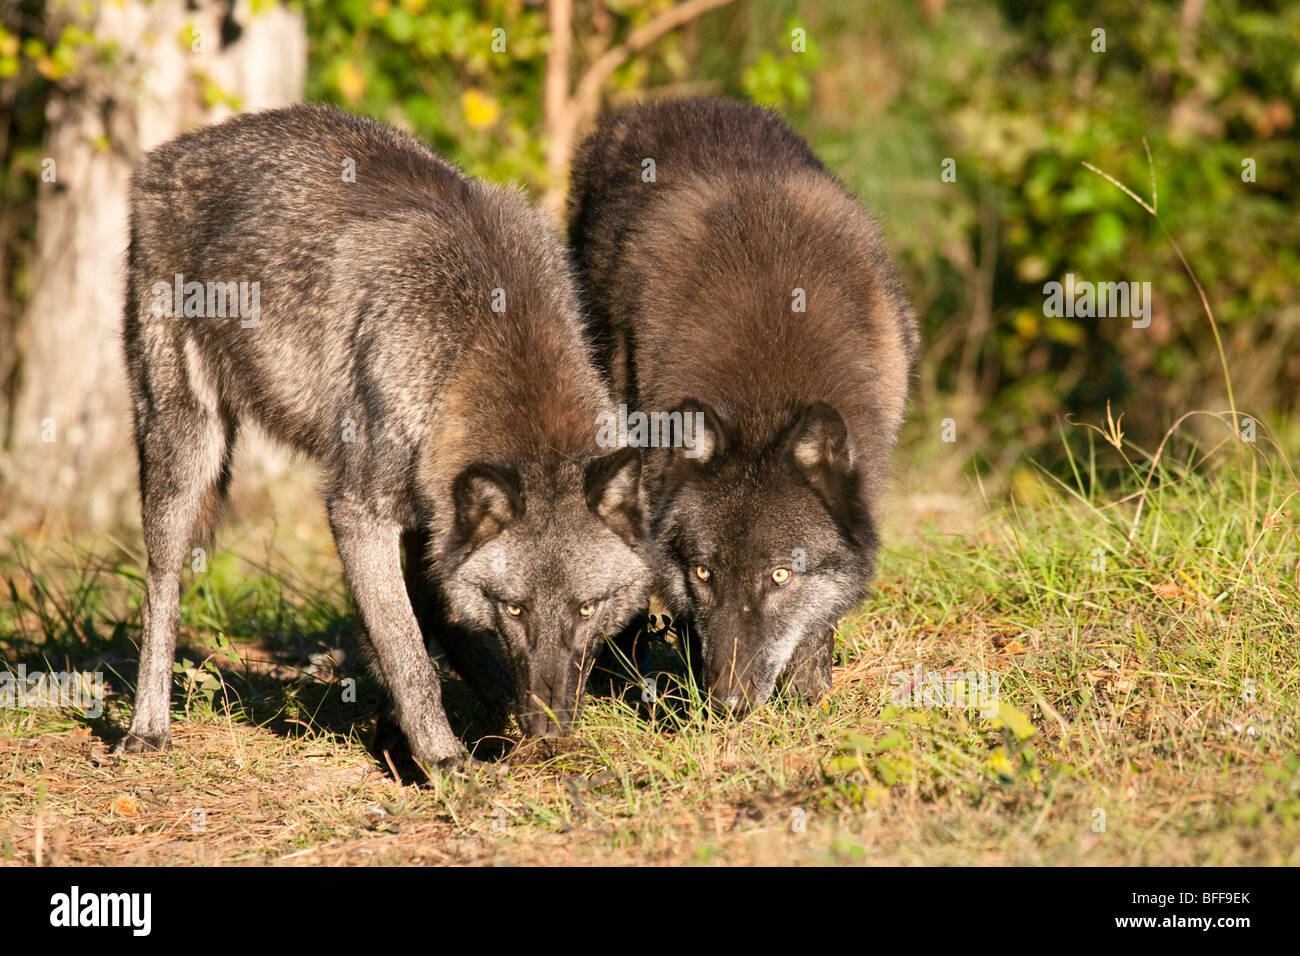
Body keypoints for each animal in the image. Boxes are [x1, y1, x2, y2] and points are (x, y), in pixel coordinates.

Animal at [119, 104, 654, 769]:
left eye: (586, 607)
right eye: (514, 607)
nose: (548, 725)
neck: (475, 345)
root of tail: (168, 155)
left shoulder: (434, 515)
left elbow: (420, 628)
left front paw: (428, 739)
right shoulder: (357, 512)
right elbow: (408, 656)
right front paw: (444, 760)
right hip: (185, 451)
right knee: (160, 586)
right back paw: (147, 728)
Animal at [567, 97, 918, 715]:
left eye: (780, 576)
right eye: (704, 572)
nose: (727, 701)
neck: (765, 393)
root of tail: (669, 103)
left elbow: (817, 622)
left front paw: (808, 700)